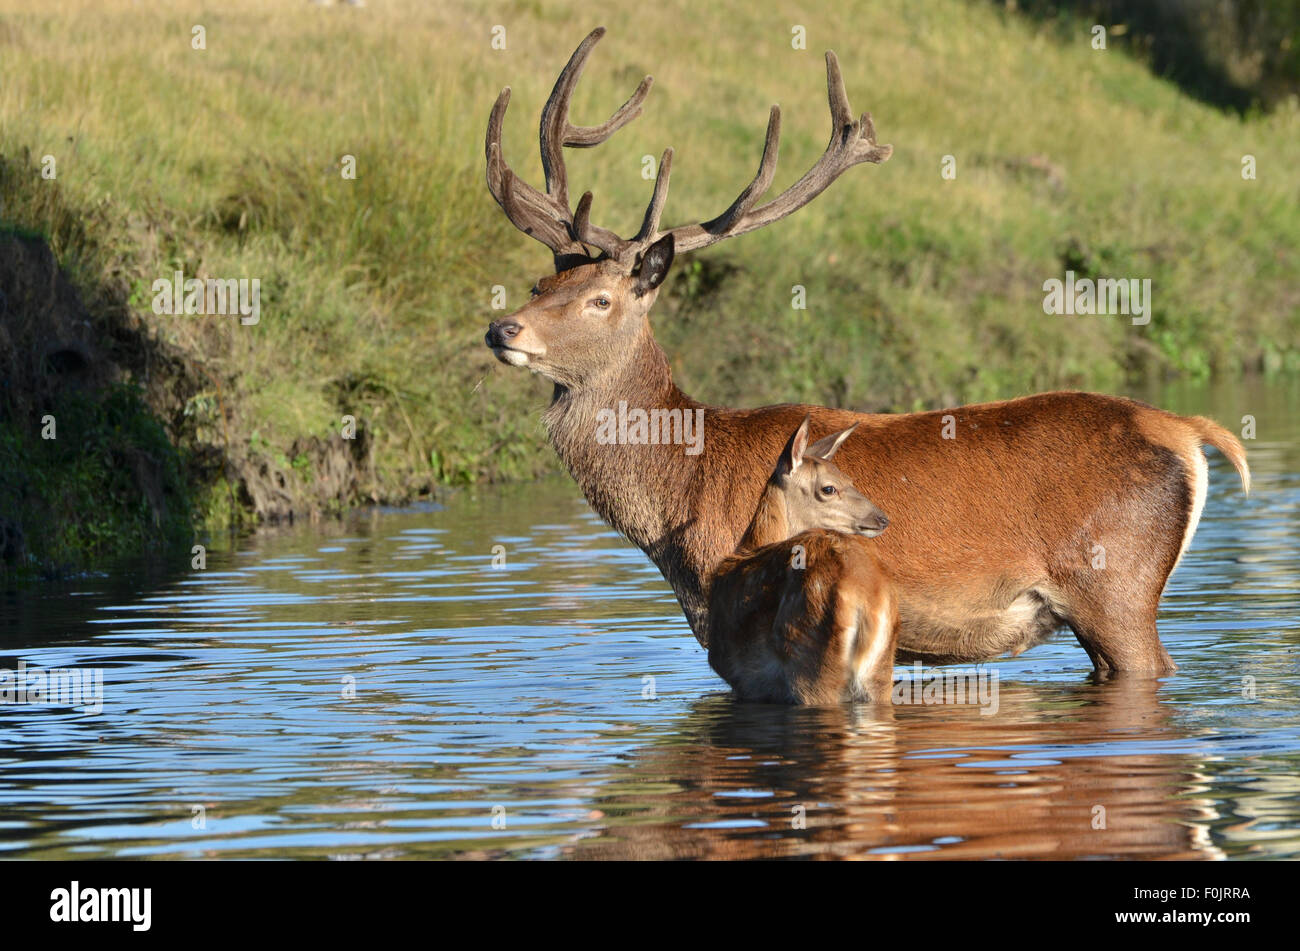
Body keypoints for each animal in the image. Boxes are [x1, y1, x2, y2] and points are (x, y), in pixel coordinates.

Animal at [707, 417, 897, 704]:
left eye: (849, 479)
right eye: (830, 487)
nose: (882, 518)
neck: (750, 545)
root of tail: (865, 597)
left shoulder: (740, 679)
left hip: (810, 659)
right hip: (880, 671)